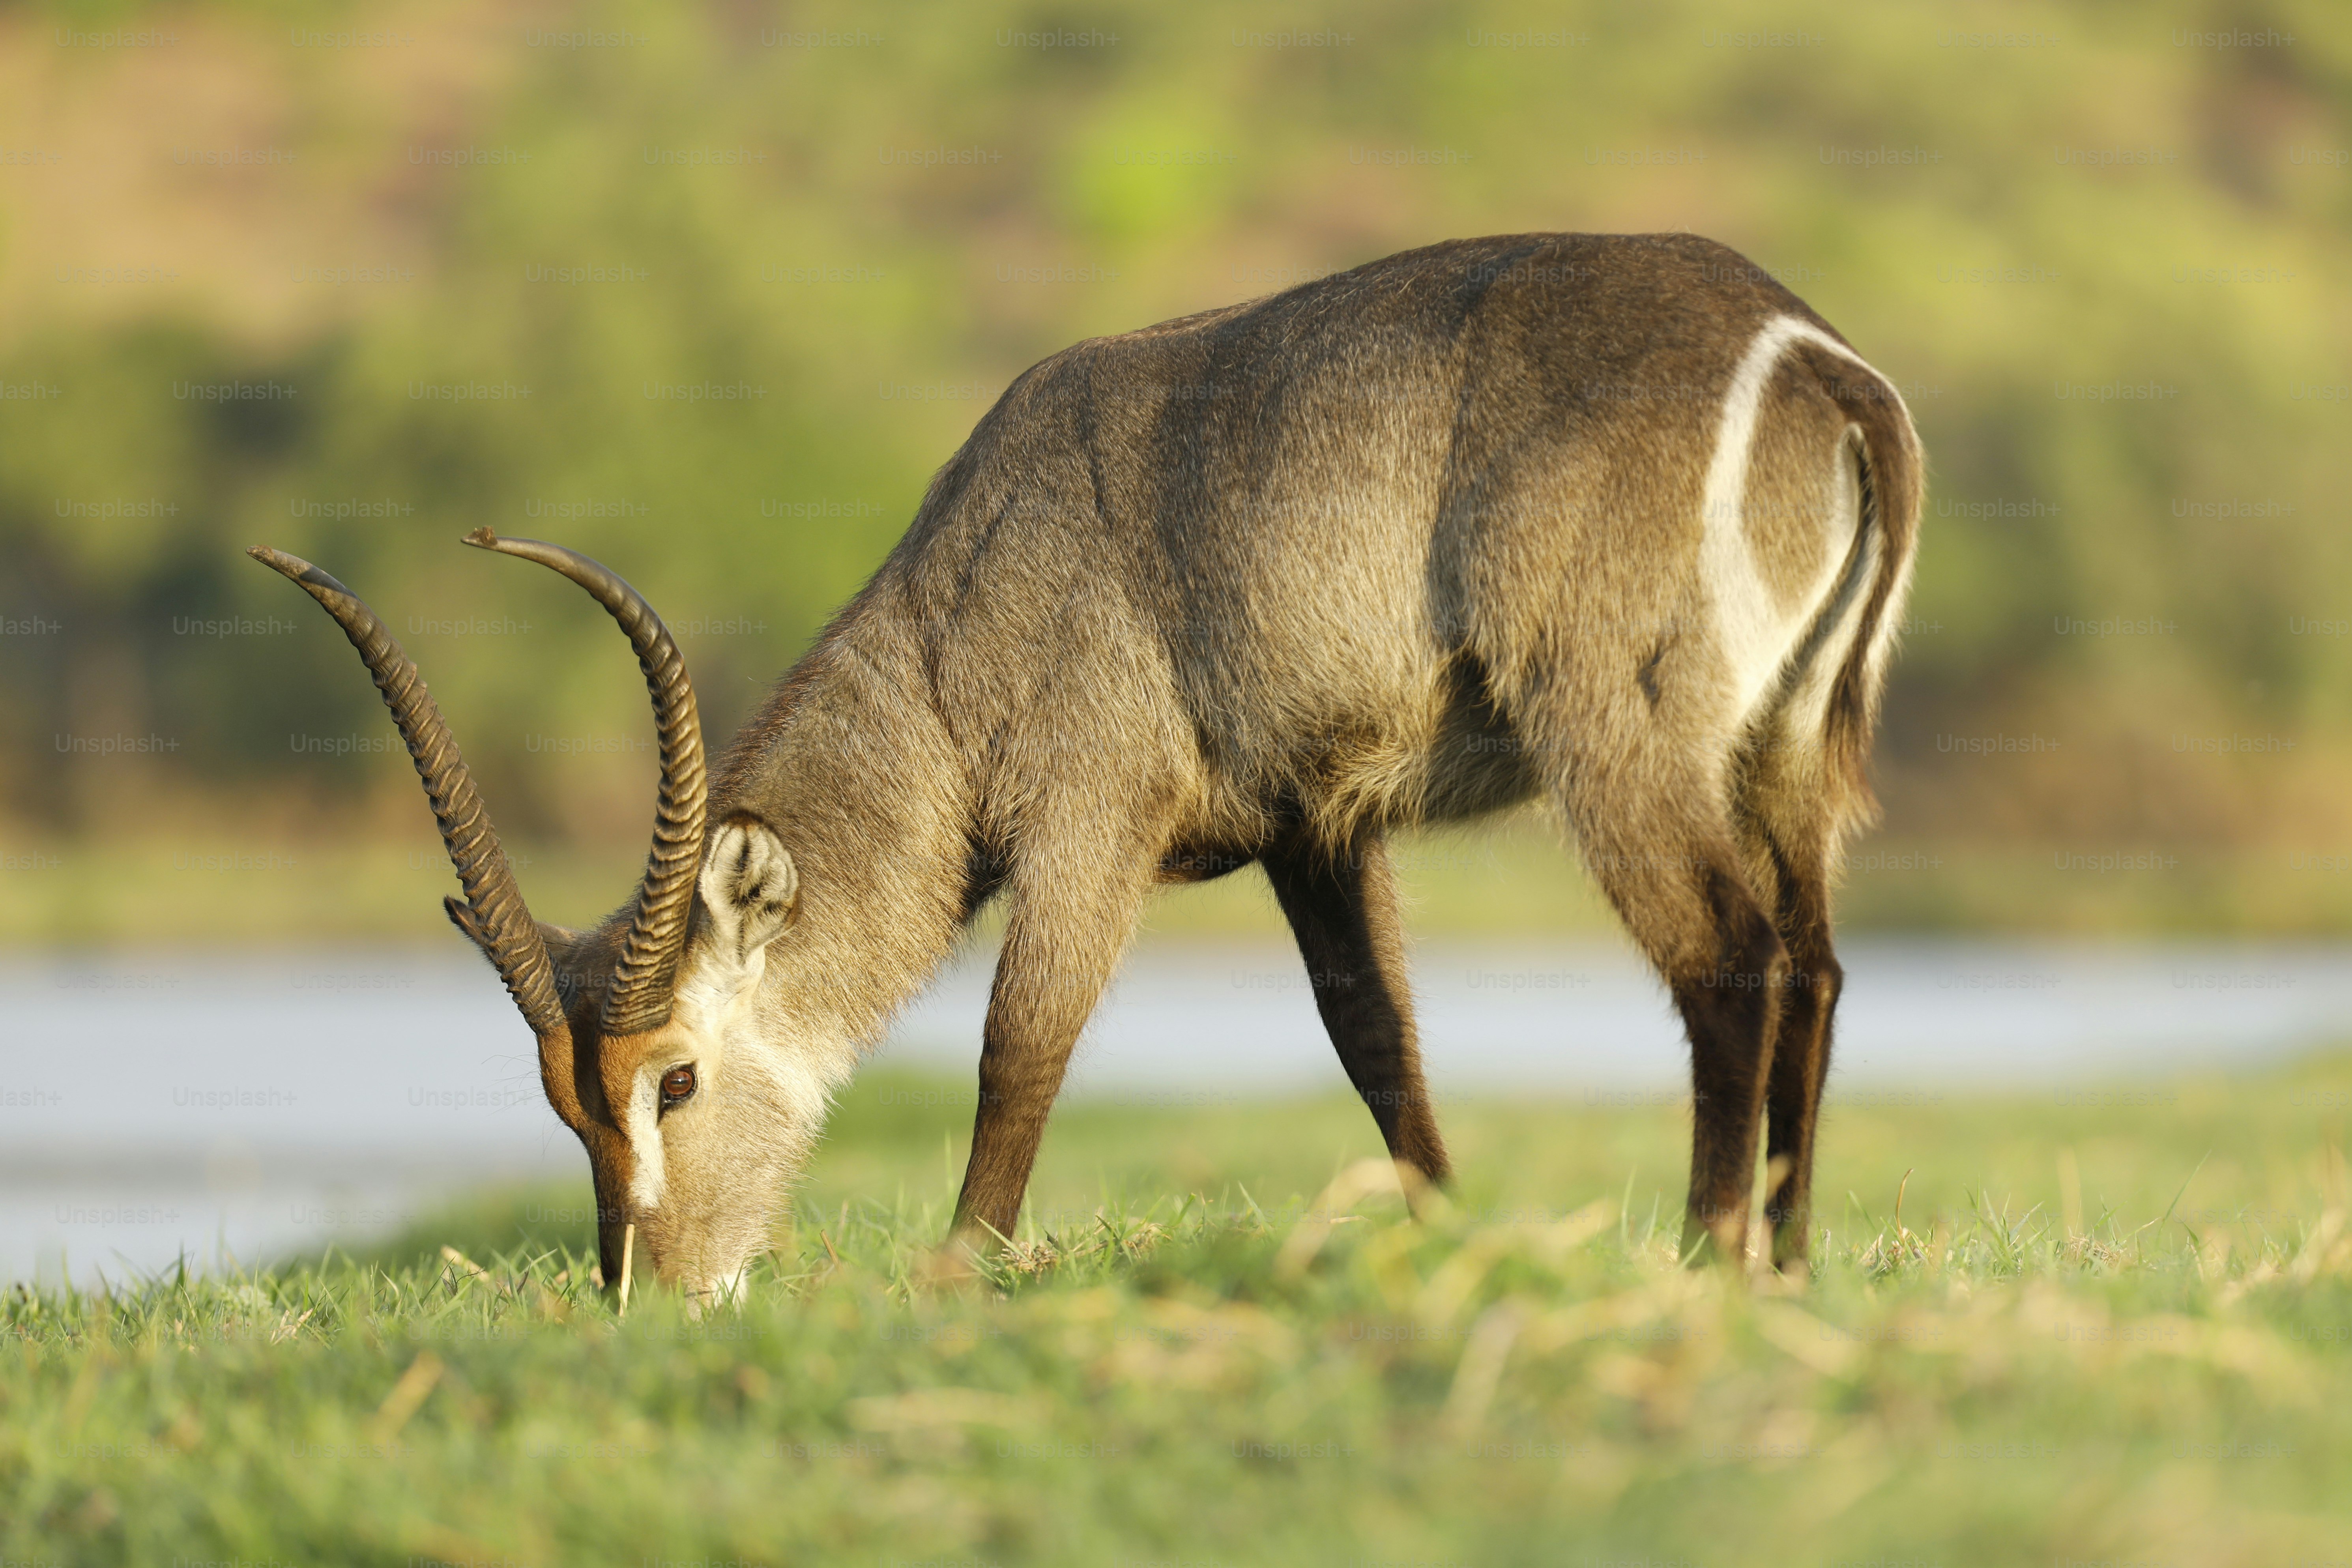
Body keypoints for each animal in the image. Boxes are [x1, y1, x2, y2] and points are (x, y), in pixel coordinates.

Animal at [254, 232, 1920, 1302]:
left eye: (673, 1078)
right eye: (565, 1105)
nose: (650, 1298)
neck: (952, 624)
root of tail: (1807, 356)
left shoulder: (1088, 828)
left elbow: (1022, 1043)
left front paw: (959, 1266)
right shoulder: (1314, 828)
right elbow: (1374, 1041)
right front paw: (1447, 1236)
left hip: (1622, 739)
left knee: (1728, 958)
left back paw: (1712, 1254)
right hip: (1781, 759)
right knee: (1818, 965)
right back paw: (1795, 1258)